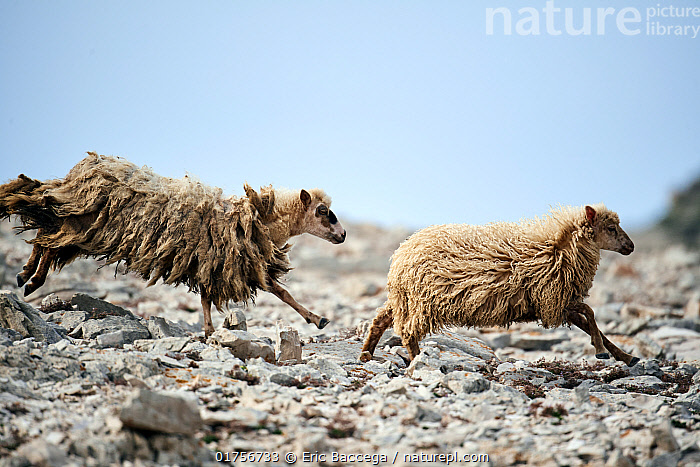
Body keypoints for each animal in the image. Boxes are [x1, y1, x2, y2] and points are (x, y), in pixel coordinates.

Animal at [0, 152, 346, 337]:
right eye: (323, 211)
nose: (343, 235)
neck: (259, 218)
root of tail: (83, 169)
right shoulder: (226, 262)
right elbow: (279, 292)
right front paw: (317, 319)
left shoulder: (219, 263)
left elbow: (259, 293)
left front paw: (208, 332)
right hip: (81, 224)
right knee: (46, 239)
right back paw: (31, 279)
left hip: (78, 225)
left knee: (45, 237)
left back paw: (27, 277)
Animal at [360, 204, 640, 367]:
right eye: (611, 227)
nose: (631, 247)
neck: (559, 249)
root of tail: (401, 254)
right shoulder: (553, 300)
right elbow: (590, 314)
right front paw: (602, 351)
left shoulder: (554, 304)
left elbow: (590, 322)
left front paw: (625, 356)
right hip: (422, 300)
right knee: (408, 331)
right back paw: (417, 359)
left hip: (403, 298)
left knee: (380, 320)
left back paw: (366, 353)